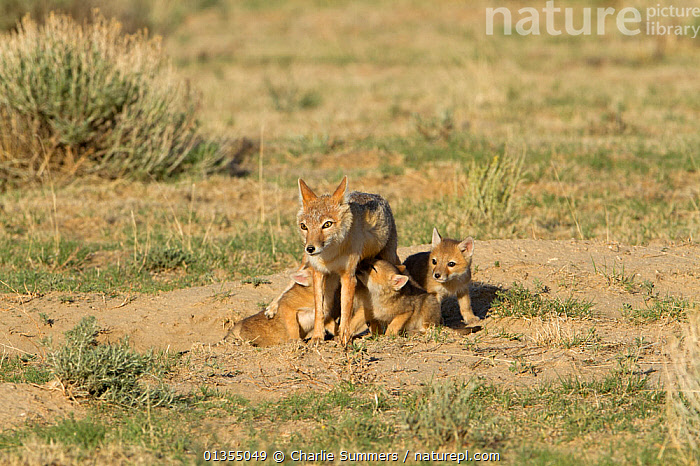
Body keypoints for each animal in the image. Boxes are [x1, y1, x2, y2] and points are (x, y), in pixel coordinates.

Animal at [296, 176, 400, 345]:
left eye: (327, 224)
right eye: (304, 226)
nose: (310, 249)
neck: (330, 256)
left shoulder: (348, 276)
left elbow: (346, 309)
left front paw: (344, 338)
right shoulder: (318, 273)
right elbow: (319, 309)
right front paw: (317, 337)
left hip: (389, 257)